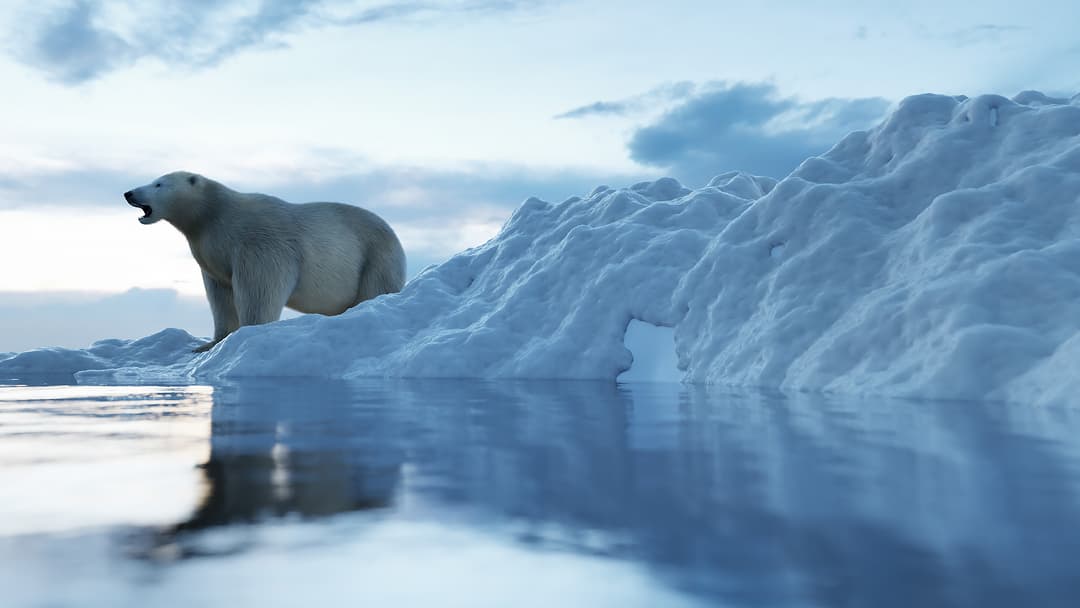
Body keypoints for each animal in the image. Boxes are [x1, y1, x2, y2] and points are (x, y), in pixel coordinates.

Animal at [124, 171, 406, 353]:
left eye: (159, 184)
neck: (214, 214)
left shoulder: (260, 242)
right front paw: (209, 344)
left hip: (376, 258)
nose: (129, 193)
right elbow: (220, 295)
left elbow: (259, 288)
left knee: (375, 287)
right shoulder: (212, 253)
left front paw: (249, 334)